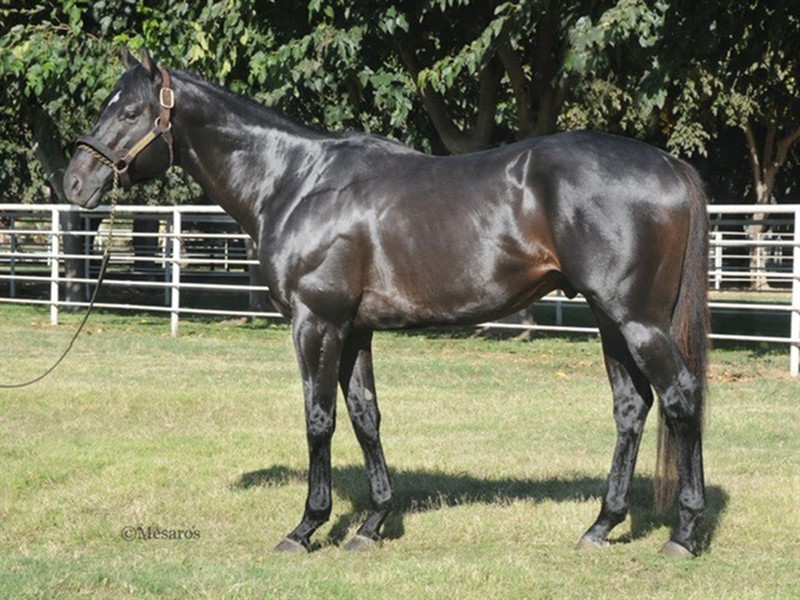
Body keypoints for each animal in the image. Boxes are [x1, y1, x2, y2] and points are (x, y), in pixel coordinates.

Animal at [64, 49, 709, 558]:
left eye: (128, 112)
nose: (72, 183)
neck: (296, 182)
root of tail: (670, 164)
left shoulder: (316, 323)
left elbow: (319, 418)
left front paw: (306, 528)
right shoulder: (354, 329)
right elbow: (365, 416)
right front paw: (371, 524)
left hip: (636, 320)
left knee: (681, 397)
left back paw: (683, 533)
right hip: (609, 319)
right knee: (631, 407)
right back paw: (601, 526)